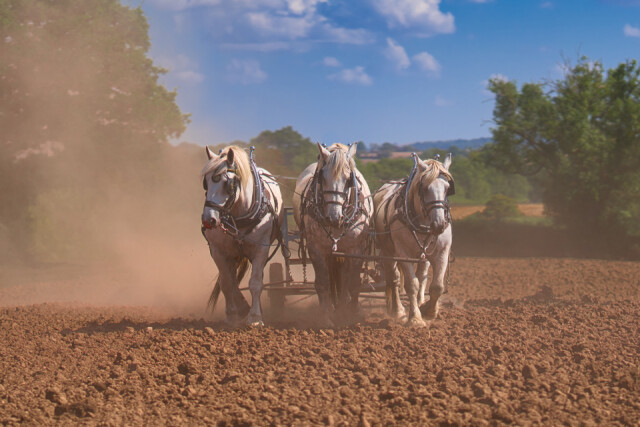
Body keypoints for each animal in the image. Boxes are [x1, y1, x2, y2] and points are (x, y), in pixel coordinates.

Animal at [201, 145, 284, 327]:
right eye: (206, 183)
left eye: (228, 183)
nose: (209, 220)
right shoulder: (218, 252)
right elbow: (226, 283)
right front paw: (232, 316)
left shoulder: (260, 250)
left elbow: (256, 283)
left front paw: (255, 318)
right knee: (231, 279)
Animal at [292, 143, 373, 325]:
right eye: (322, 178)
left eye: (349, 179)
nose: (333, 217)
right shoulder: (316, 248)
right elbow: (323, 283)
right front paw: (326, 317)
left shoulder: (355, 249)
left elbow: (352, 283)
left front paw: (348, 315)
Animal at [372, 153, 454, 327]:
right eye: (424, 188)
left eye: (447, 188)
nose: (439, 224)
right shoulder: (403, 254)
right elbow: (411, 284)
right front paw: (415, 318)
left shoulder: (442, 253)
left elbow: (436, 286)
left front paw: (429, 311)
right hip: (388, 252)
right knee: (394, 279)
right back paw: (398, 311)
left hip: (424, 257)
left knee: (422, 277)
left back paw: (420, 302)